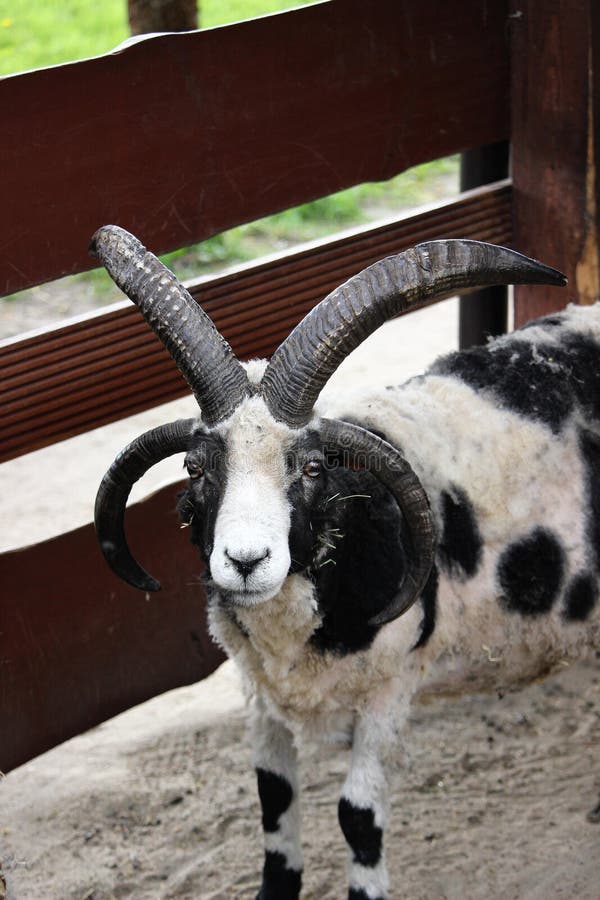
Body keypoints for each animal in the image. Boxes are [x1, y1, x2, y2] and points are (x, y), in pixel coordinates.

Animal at [91, 226, 600, 900]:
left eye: (312, 468)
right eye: (195, 468)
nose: (245, 561)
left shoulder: (393, 684)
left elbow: (357, 816)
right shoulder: (259, 692)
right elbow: (273, 801)